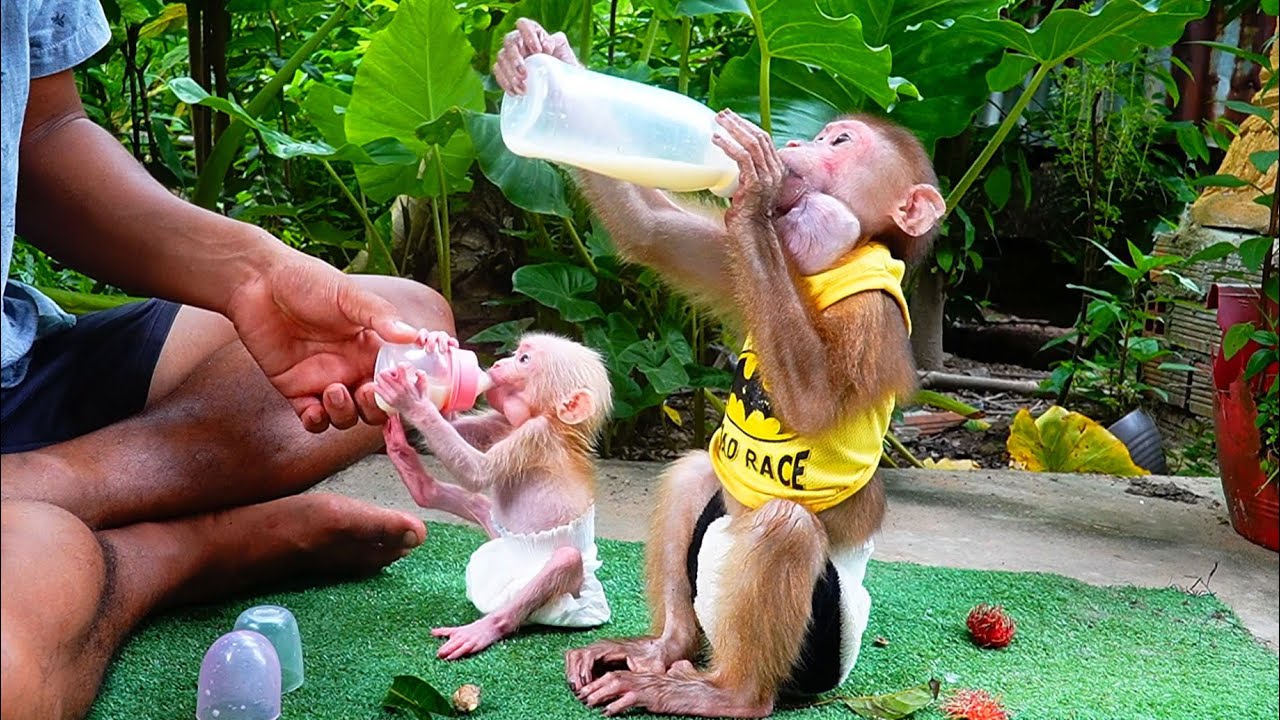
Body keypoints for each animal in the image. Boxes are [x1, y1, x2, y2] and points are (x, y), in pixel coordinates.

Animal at [375, 330, 615, 660]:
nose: (499, 363)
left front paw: (413, 399)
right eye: (516, 353)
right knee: (480, 505)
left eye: (524, 359)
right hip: (497, 534)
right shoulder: (502, 422)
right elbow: (460, 432)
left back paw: (488, 627)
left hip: (569, 590)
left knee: (565, 560)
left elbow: (479, 472)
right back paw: (419, 482)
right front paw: (436, 345)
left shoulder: (536, 435)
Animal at [494, 19, 945, 718]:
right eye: (820, 134)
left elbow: (815, 405)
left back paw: (731, 695)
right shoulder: (735, 260)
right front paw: (540, 59)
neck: (825, 264)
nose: (793, 141)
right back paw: (664, 648)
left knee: (784, 527)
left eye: (838, 142)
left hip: (822, 648)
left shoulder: (871, 315)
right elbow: (652, 231)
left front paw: (754, 181)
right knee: (692, 472)